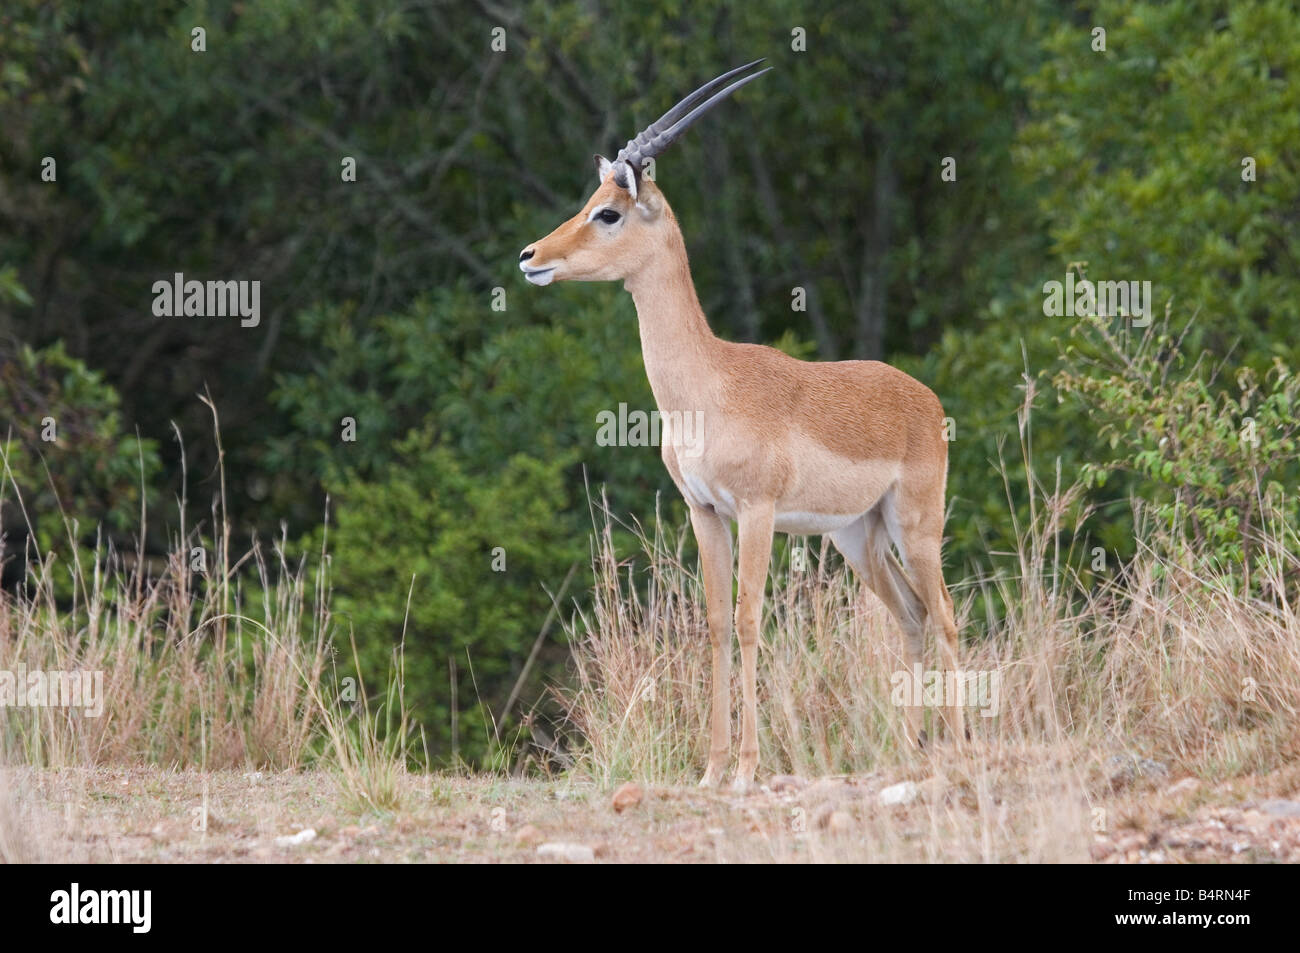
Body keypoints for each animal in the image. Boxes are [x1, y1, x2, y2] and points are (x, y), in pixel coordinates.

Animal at [520, 60, 964, 791]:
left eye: (608, 211)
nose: (531, 256)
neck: (710, 385)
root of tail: (923, 399)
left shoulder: (757, 510)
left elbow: (752, 619)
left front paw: (749, 768)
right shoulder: (704, 512)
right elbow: (717, 624)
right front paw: (712, 768)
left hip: (916, 523)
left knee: (947, 616)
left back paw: (955, 749)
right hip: (857, 535)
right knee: (913, 614)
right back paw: (908, 752)